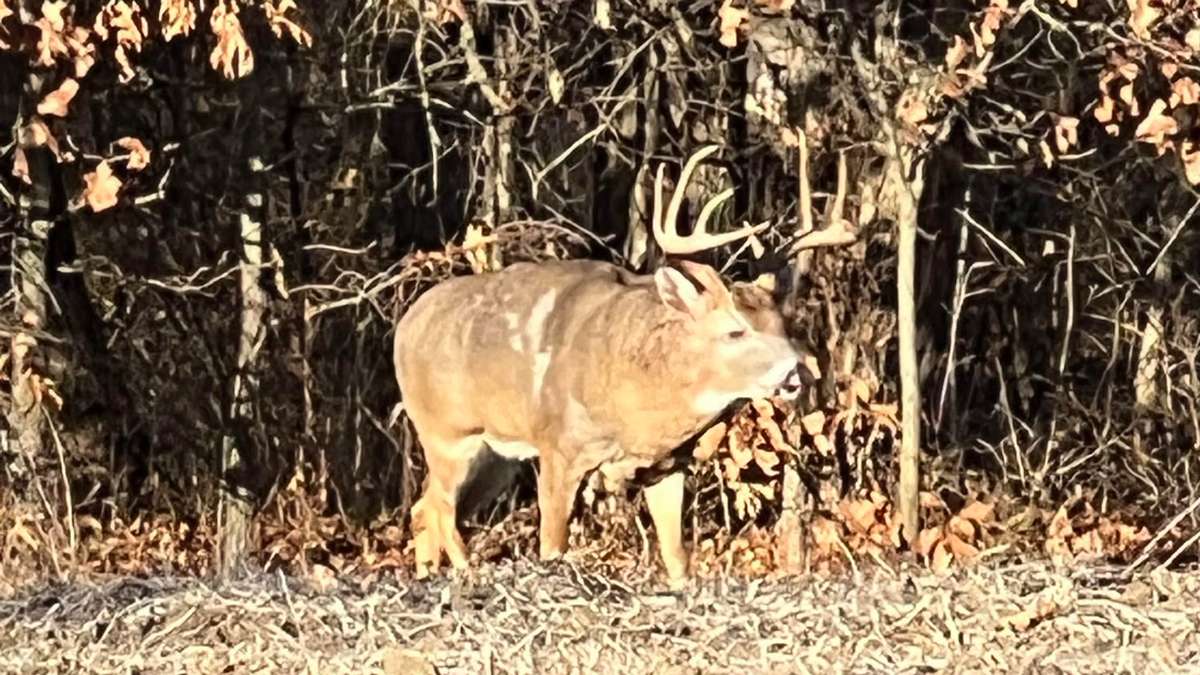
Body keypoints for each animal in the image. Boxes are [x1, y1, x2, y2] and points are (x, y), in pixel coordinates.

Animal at [394, 141, 855, 588]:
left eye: (784, 322)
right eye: (734, 331)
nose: (798, 372)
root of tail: (403, 328)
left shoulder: (667, 466)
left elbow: (677, 557)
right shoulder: (559, 446)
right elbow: (552, 546)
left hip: (496, 456)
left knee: (423, 507)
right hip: (446, 433)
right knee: (440, 508)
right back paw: (465, 572)